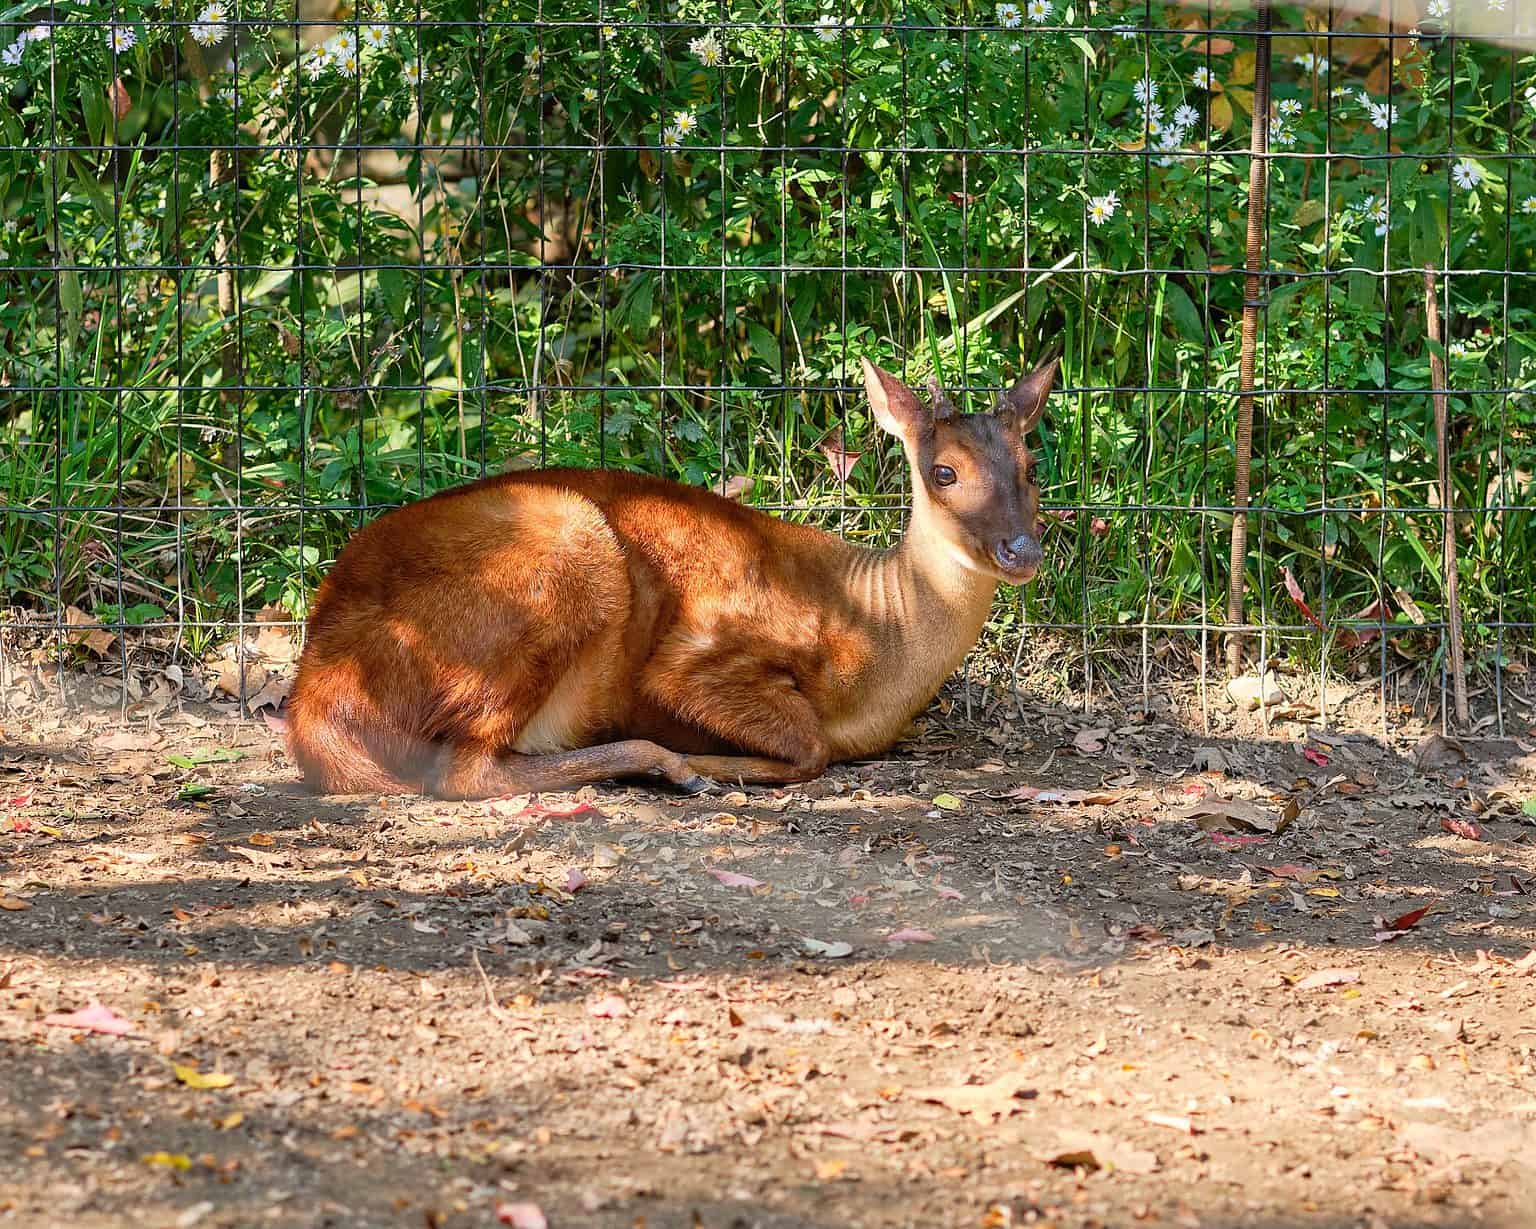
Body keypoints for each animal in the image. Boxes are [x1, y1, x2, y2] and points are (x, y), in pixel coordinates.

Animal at [285, 355, 1058, 800]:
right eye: (944, 472)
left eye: (1030, 468)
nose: (1020, 550)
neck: (879, 636)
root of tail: (317, 687)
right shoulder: (703, 653)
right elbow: (808, 749)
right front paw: (717, 762)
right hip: (570, 551)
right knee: (463, 770)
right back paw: (668, 765)